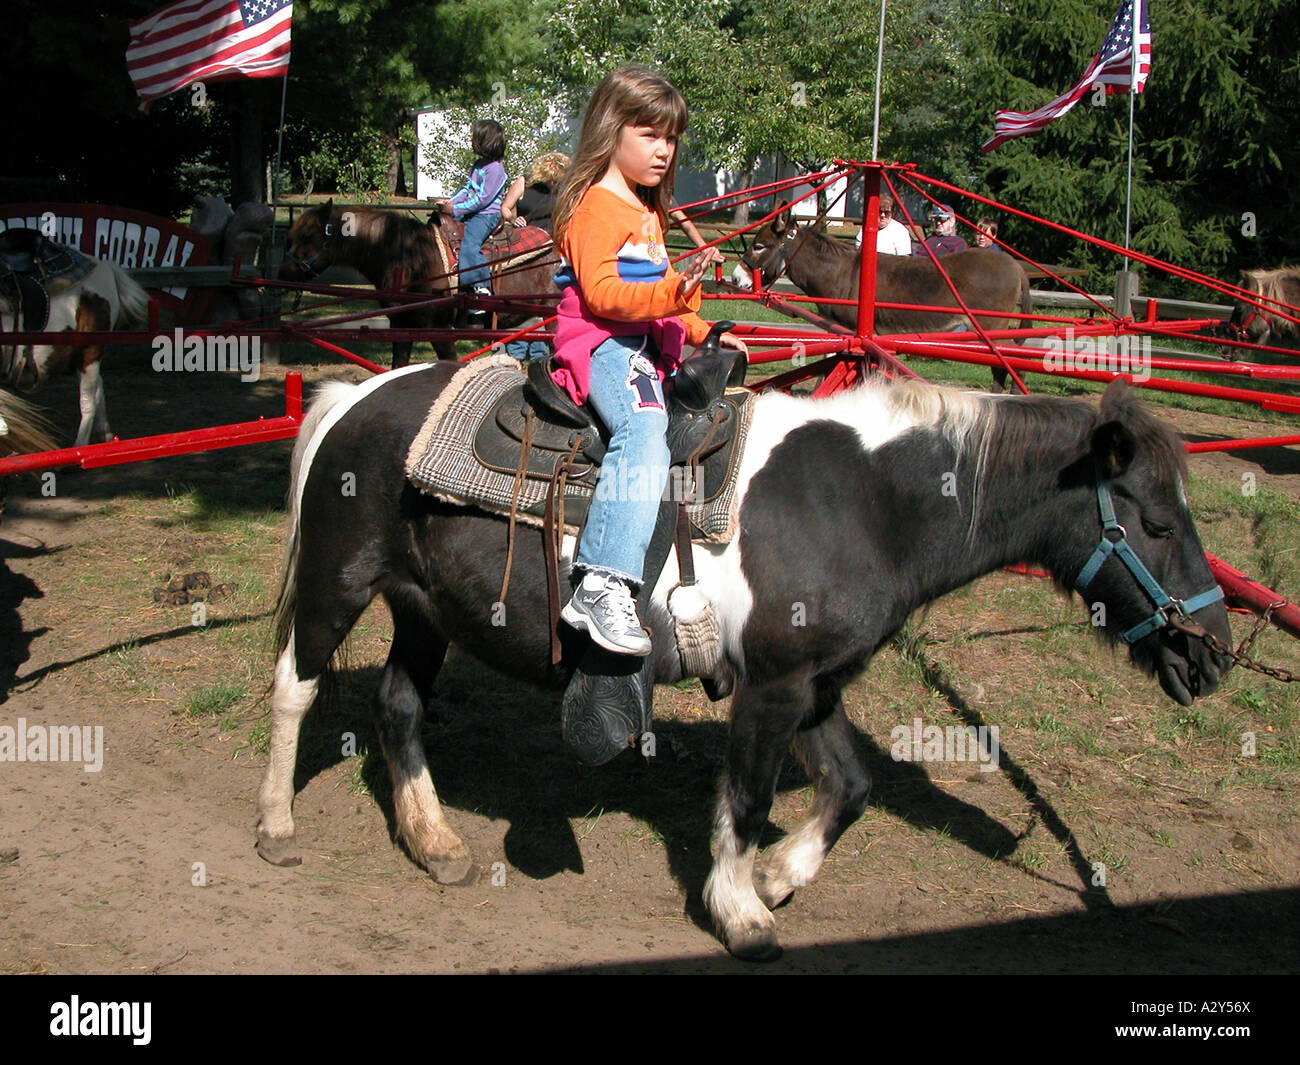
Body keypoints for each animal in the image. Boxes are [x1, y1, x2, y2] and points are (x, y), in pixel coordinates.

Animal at [0, 239, 150, 447]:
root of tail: (105, 266)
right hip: (78, 356)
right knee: (98, 389)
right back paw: (105, 435)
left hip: (90, 351)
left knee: (88, 402)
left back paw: (80, 446)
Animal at [254, 360, 1232, 960]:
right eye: (1154, 521)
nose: (1214, 654)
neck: (866, 499)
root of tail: (352, 399)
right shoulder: (772, 686)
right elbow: (750, 797)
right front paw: (741, 908)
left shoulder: (817, 682)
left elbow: (851, 786)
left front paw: (777, 875)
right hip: (340, 584)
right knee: (294, 690)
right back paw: (276, 826)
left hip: (425, 610)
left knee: (398, 706)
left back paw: (435, 842)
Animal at [279, 201, 559, 368]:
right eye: (289, 237)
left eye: (308, 236)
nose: (283, 273)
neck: (409, 257)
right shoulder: (402, 325)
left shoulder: (440, 329)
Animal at [737, 204, 1033, 389]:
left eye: (759, 246)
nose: (736, 278)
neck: (841, 272)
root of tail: (1015, 265)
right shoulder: (844, 330)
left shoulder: (851, 329)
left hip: (992, 325)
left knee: (1010, 366)